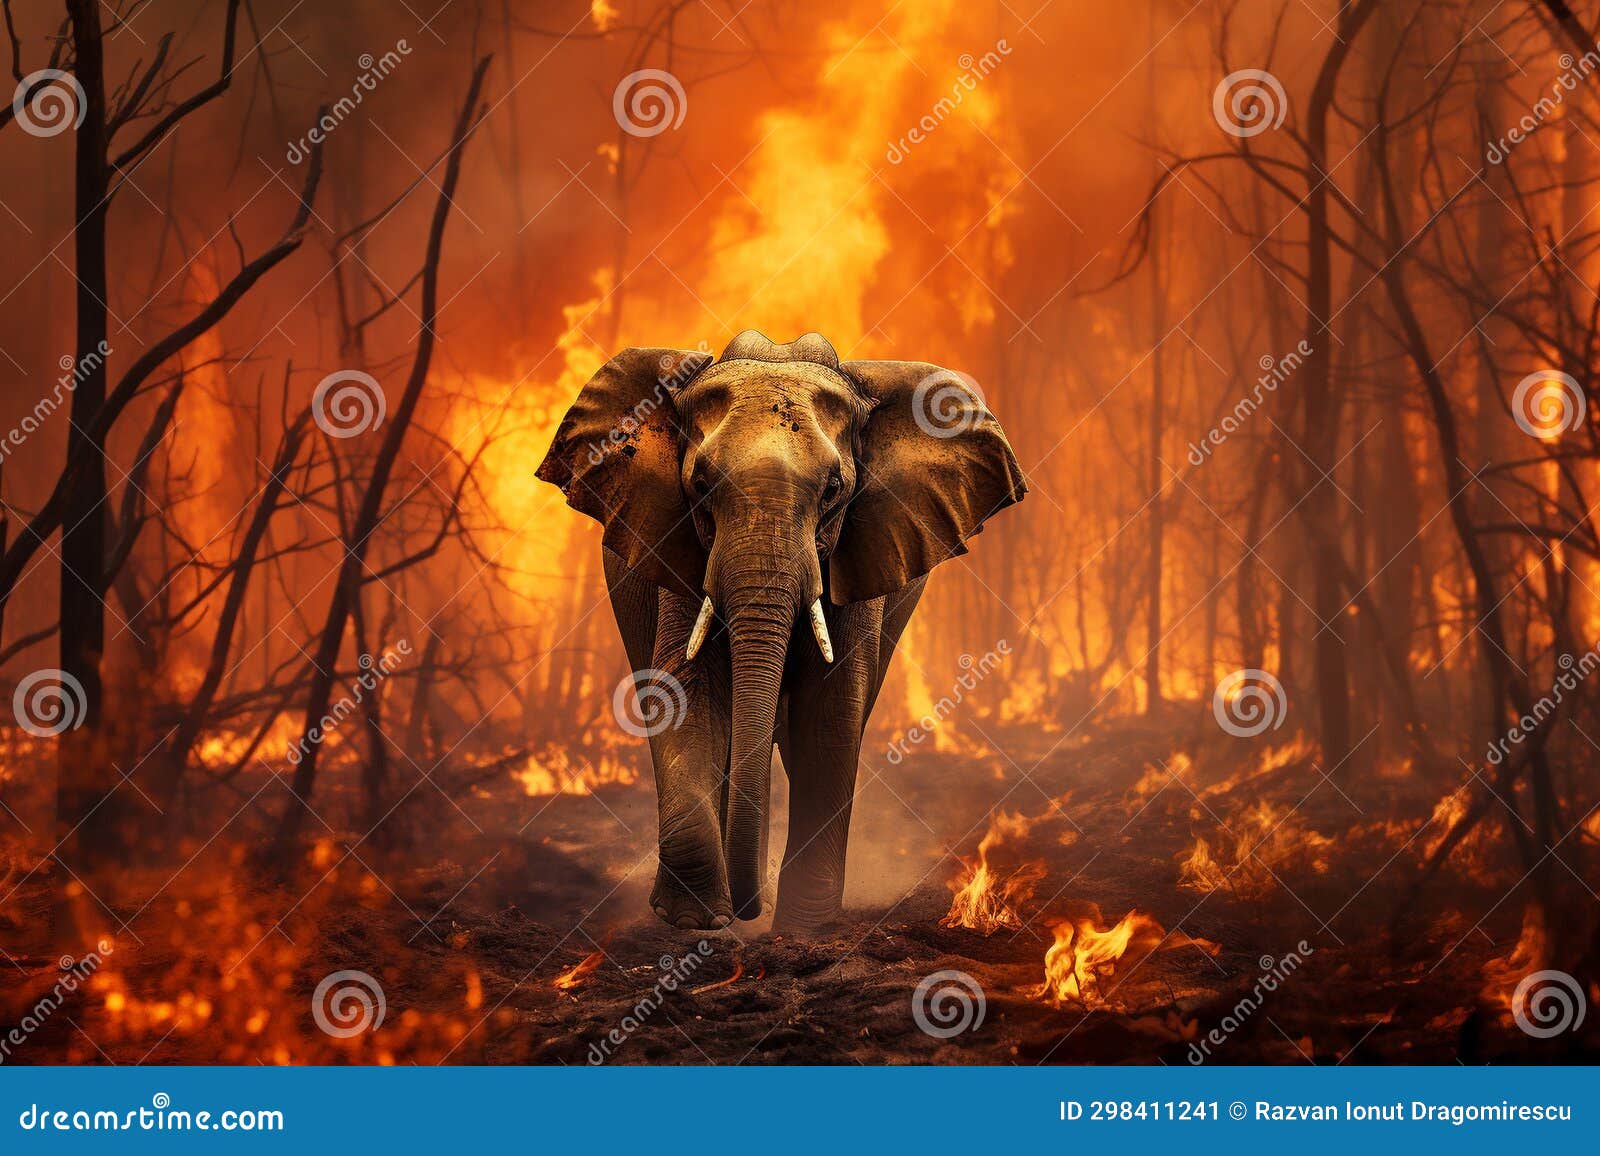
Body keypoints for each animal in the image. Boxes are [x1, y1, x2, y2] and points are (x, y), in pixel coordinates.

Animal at [536, 330, 1025, 933]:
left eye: (834, 490)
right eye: (700, 485)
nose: (749, 911)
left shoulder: (857, 554)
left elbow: (830, 709)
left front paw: (802, 930)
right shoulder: (680, 547)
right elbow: (686, 695)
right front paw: (695, 922)